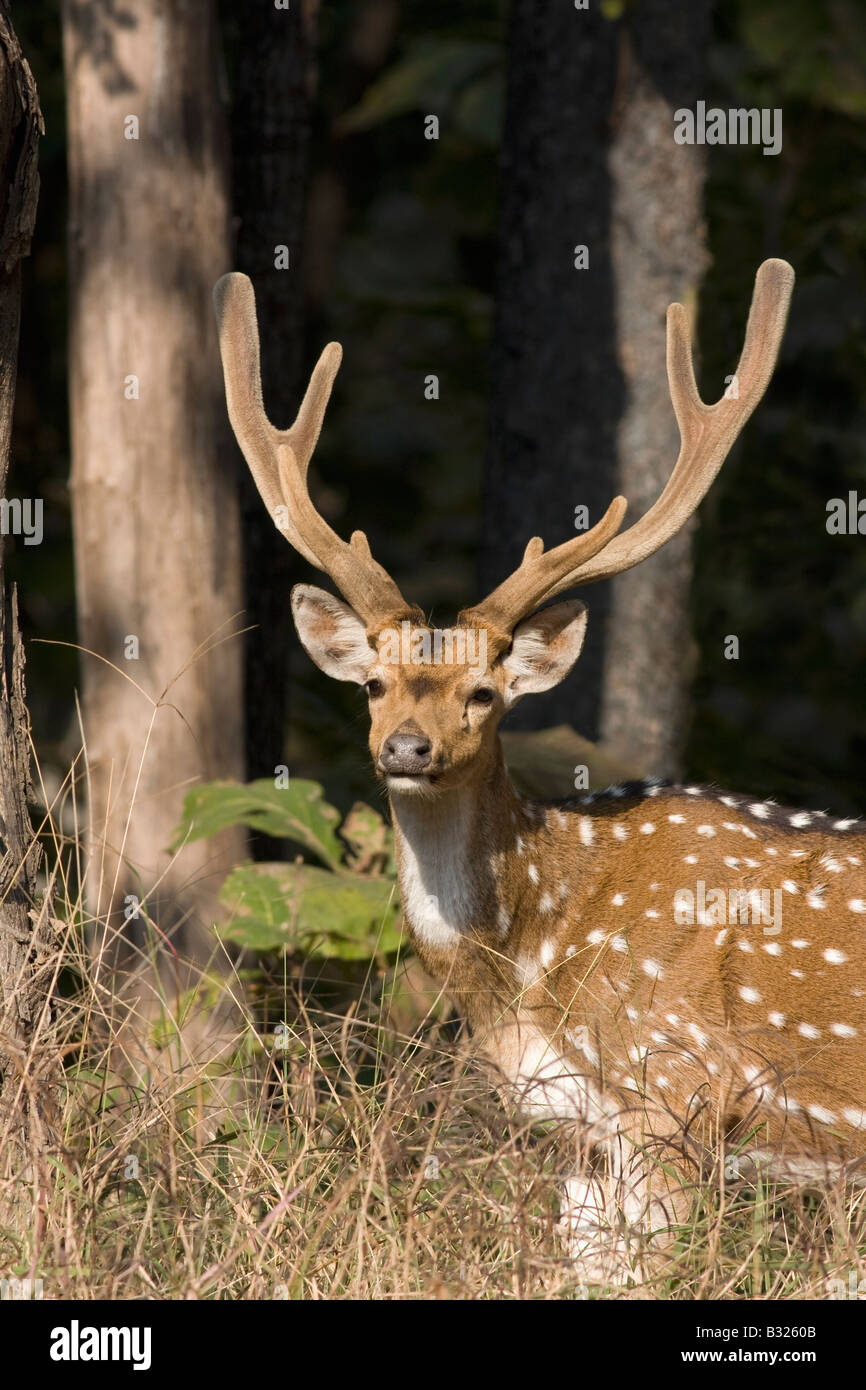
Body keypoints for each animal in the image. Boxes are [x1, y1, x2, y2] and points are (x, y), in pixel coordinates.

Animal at [213, 258, 866, 1283]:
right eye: (373, 685)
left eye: (484, 693)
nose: (407, 748)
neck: (527, 957)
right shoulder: (584, 1138)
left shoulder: (678, 1087)